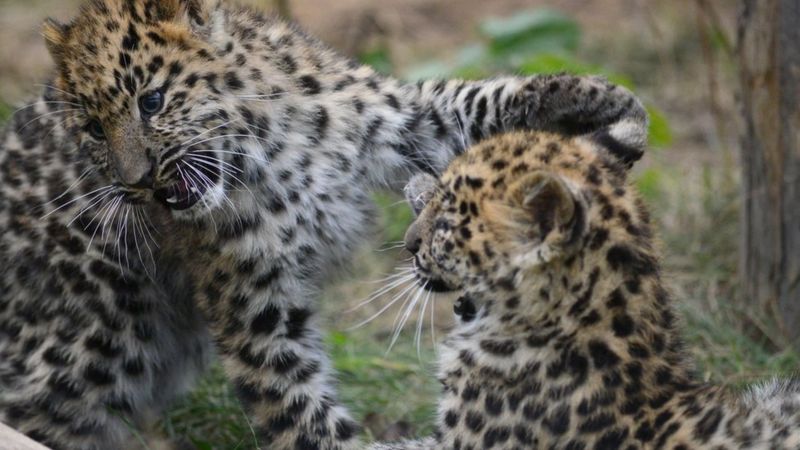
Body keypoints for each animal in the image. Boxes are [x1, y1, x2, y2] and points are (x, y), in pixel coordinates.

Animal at [0, 0, 650, 448]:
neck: (264, 152)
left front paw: (596, 98)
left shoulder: (395, 120)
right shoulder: (254, 303)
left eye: (152, 102)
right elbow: (297, 408)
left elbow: (468, 103)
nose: (136, 182)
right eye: (92, 129)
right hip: (93, 337)